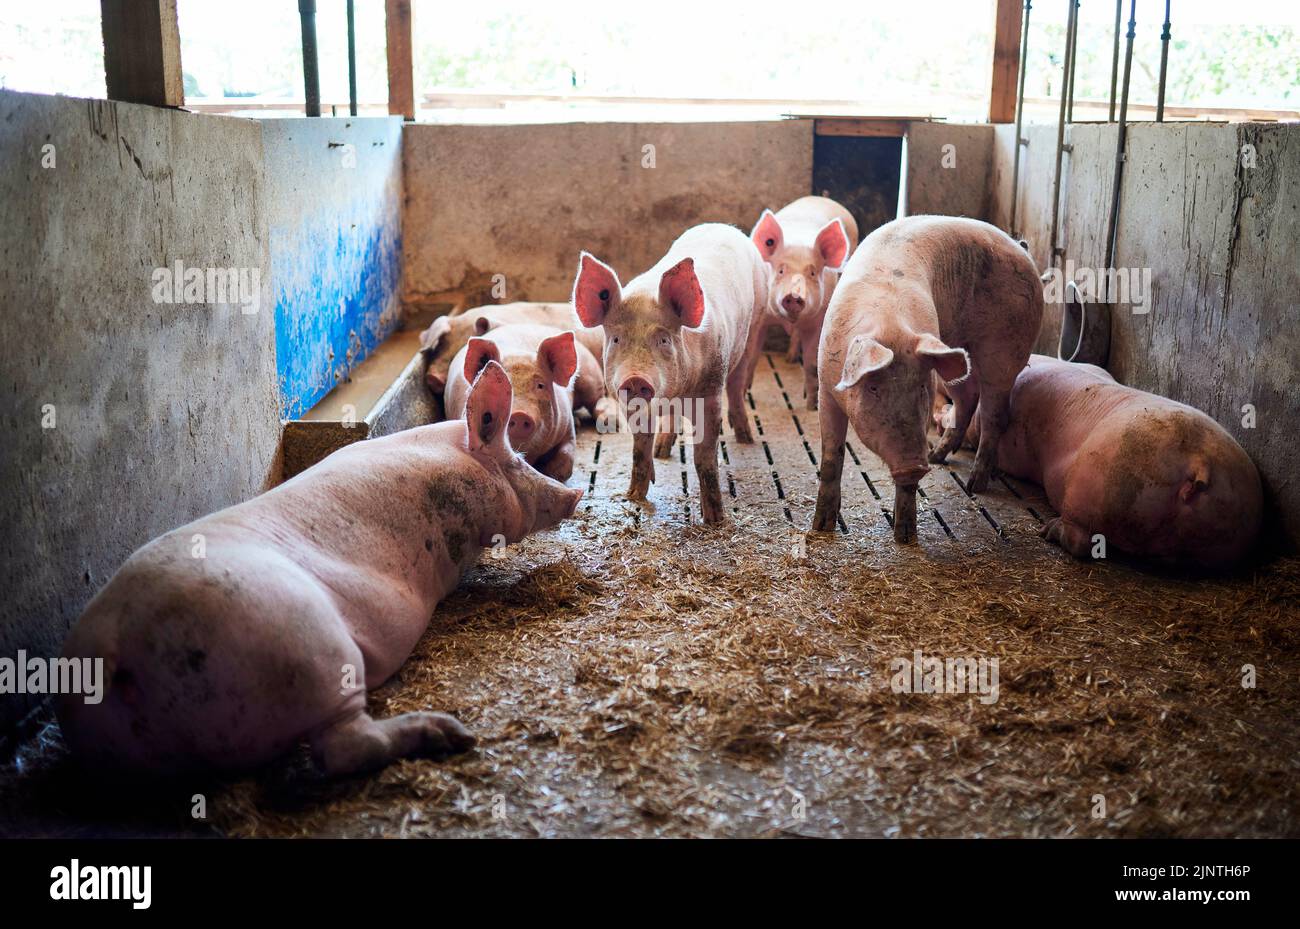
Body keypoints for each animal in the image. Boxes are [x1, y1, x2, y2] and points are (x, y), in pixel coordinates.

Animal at [56, 362, 583, 777]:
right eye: (515, 460)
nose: (576, 495)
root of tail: (114, 644)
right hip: (306, 648)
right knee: (345, 747)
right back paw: (450, 733)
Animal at [442, 324, 602, 482]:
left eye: (540, 386)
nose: (519, 414)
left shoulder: (567, 425)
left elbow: (565, 461)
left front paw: (549, 472)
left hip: (591, 376)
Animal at [571, 223, 767, 524]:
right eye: (616, 339)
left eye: (663, 340)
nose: (636, 378)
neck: (674, 395)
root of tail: (723, 225)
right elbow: (639, 451)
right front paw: (634, 496)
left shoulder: (710, 395)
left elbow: (704, 458)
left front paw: (715, 519)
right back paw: (662, 450)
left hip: (754, 327)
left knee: (737, 382)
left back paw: (746, 437)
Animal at [746, 196, 859, 409]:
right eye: (781, 270)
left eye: (812, 273)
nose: (794, 296)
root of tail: (820, 197)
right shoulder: (761, 319)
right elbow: (753, 356)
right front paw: (747, 395)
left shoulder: (816, 321)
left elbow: (810, 362)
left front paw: (812, 405)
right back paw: (789, 359)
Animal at [811, 215, 1044, 543]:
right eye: (873, 387)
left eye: (921, 388)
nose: (914, 464)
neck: (889, 324)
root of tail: (1021, 249)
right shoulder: (826, 388)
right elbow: (832, 456)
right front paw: (821, 527)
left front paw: (906, 537)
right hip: (953, 356)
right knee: (967, 398)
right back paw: (938, 456)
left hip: (1005, 351)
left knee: (994, 414)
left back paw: (974, 484)